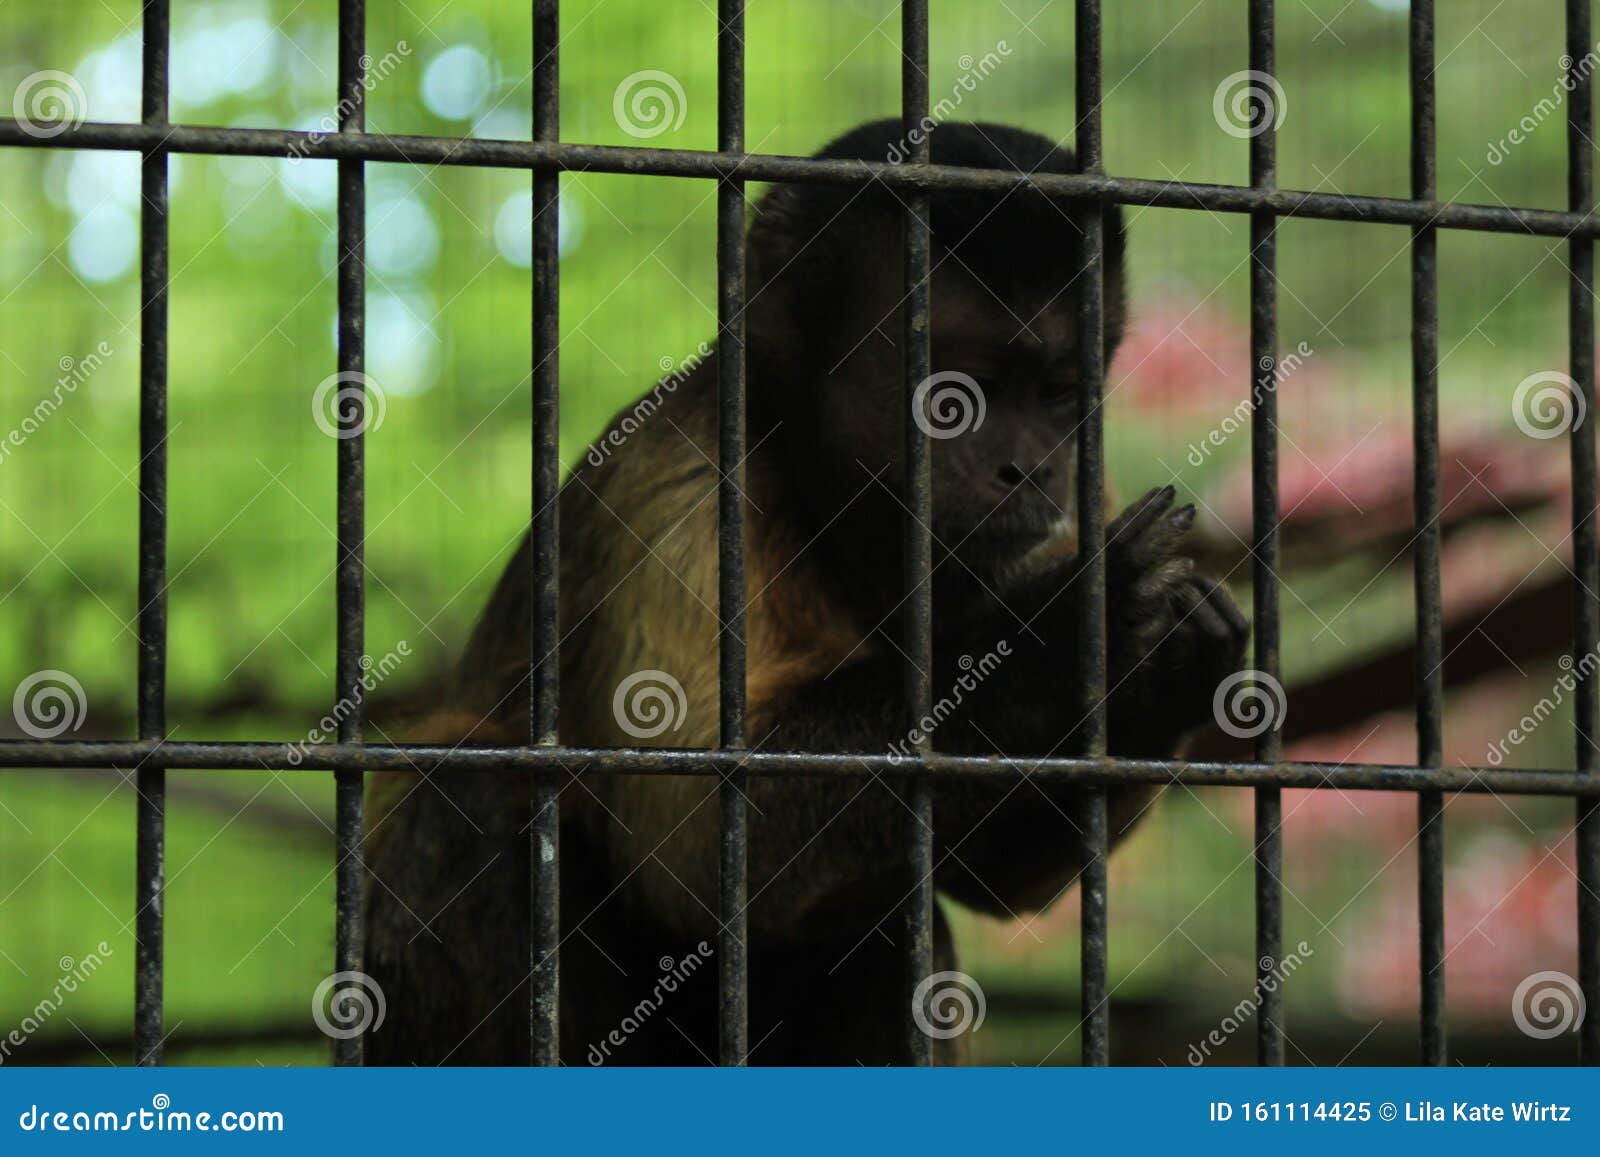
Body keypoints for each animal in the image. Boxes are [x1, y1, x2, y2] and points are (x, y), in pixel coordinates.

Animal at [362, 120, 1249, 1066]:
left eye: (1056, 395)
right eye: (956, 396)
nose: (1029, 468)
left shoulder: (1081, 499)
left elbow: (989, 884)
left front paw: (1165, 670)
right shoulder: (687, 481)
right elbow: (694, 839)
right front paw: (1080, 628)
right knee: (466, 791)